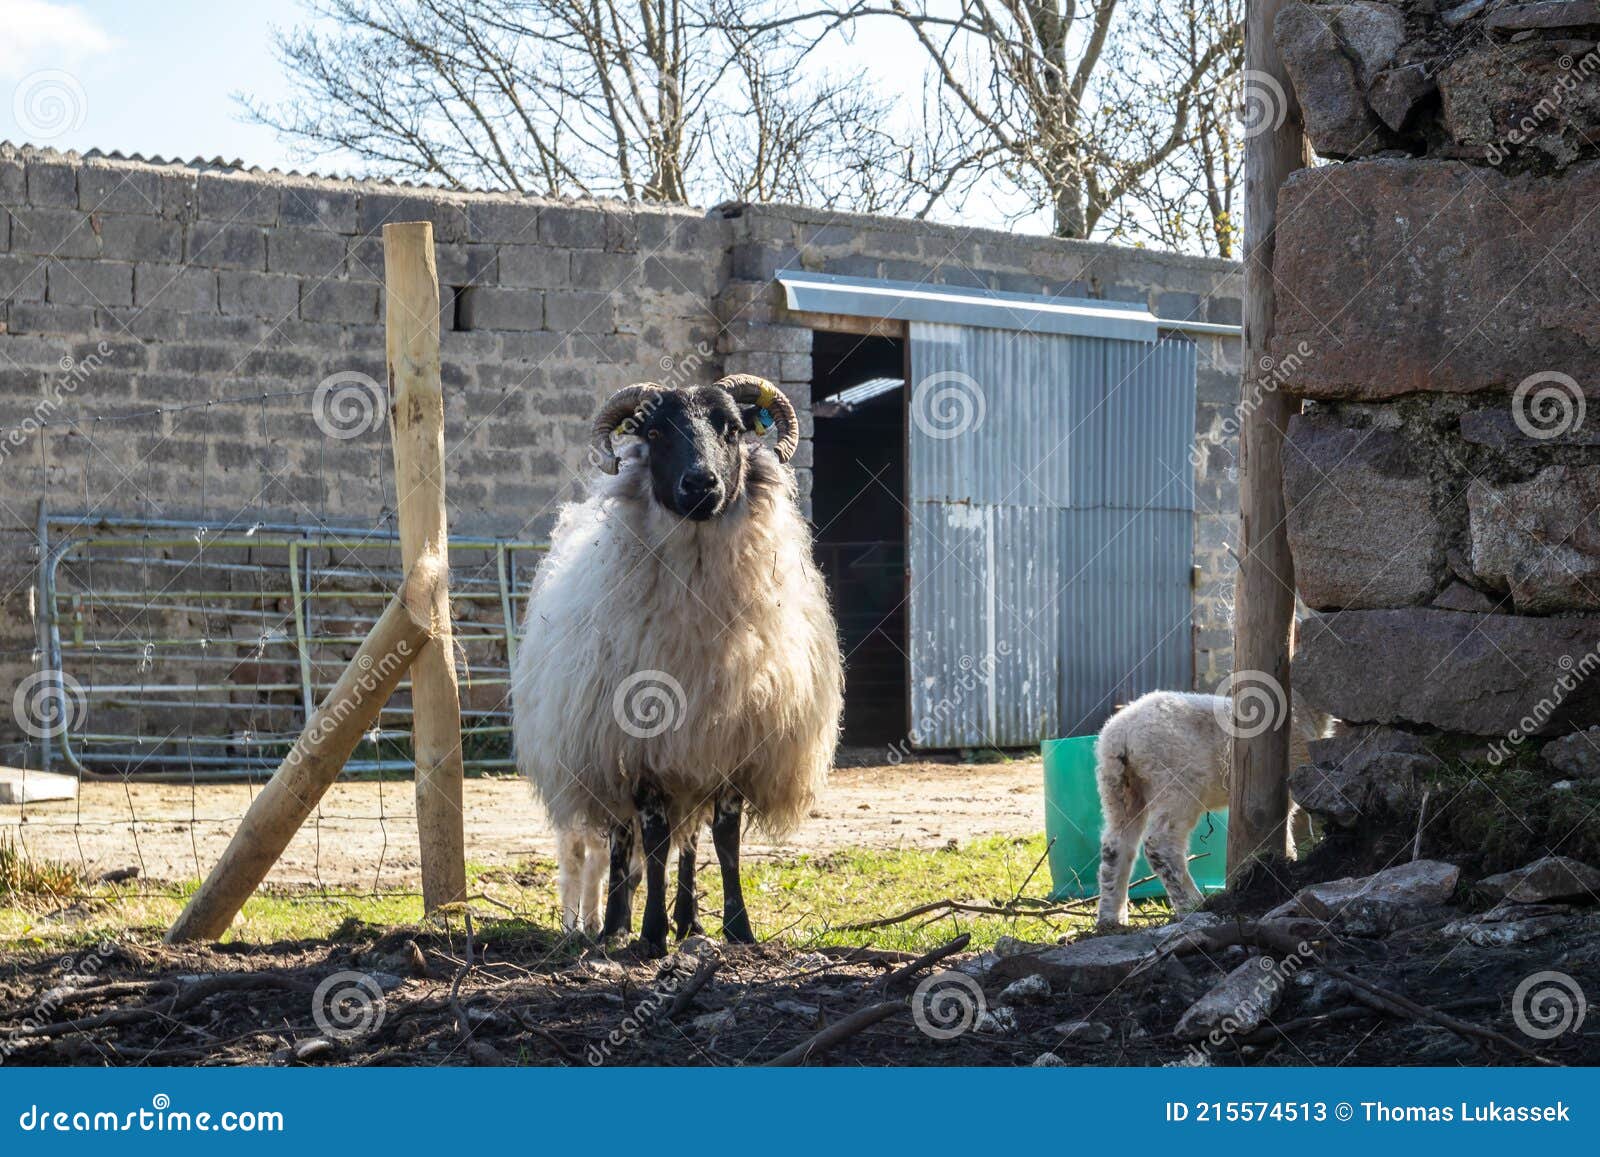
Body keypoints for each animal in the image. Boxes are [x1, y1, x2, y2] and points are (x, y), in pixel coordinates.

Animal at [512, 374, 843, 955]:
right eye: (654, 432)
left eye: (732, 430)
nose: (701, 484)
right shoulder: (640, 751)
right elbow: (652, 843)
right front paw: (648, 935)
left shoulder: (732, 748)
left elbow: (725, 843)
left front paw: (738, 930)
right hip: (611, 754)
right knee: (625, 840)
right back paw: (616, 924)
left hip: (693, 759)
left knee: (690, 843)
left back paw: (689, 922)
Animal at [1094, 689, 1330, 929]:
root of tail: (1122, 735)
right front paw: (1285, 864)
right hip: (1174, 782)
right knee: (1161, 843)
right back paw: (1191, 903)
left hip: (1118, 787)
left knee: (1116, 845)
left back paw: (1111, 918)